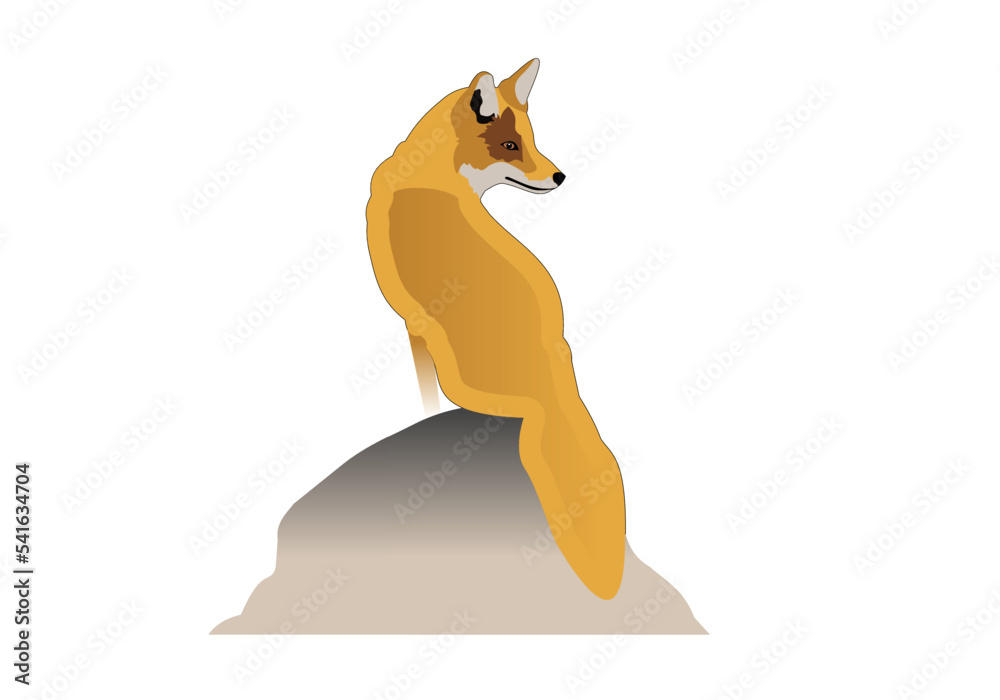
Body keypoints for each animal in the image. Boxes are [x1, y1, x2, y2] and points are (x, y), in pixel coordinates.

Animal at [366, 59, 626, 600]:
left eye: (531, 138)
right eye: (510, 145)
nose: (560, 176)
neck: (427, 178)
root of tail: (554, 379)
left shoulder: (413, 327)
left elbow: (425, 397)